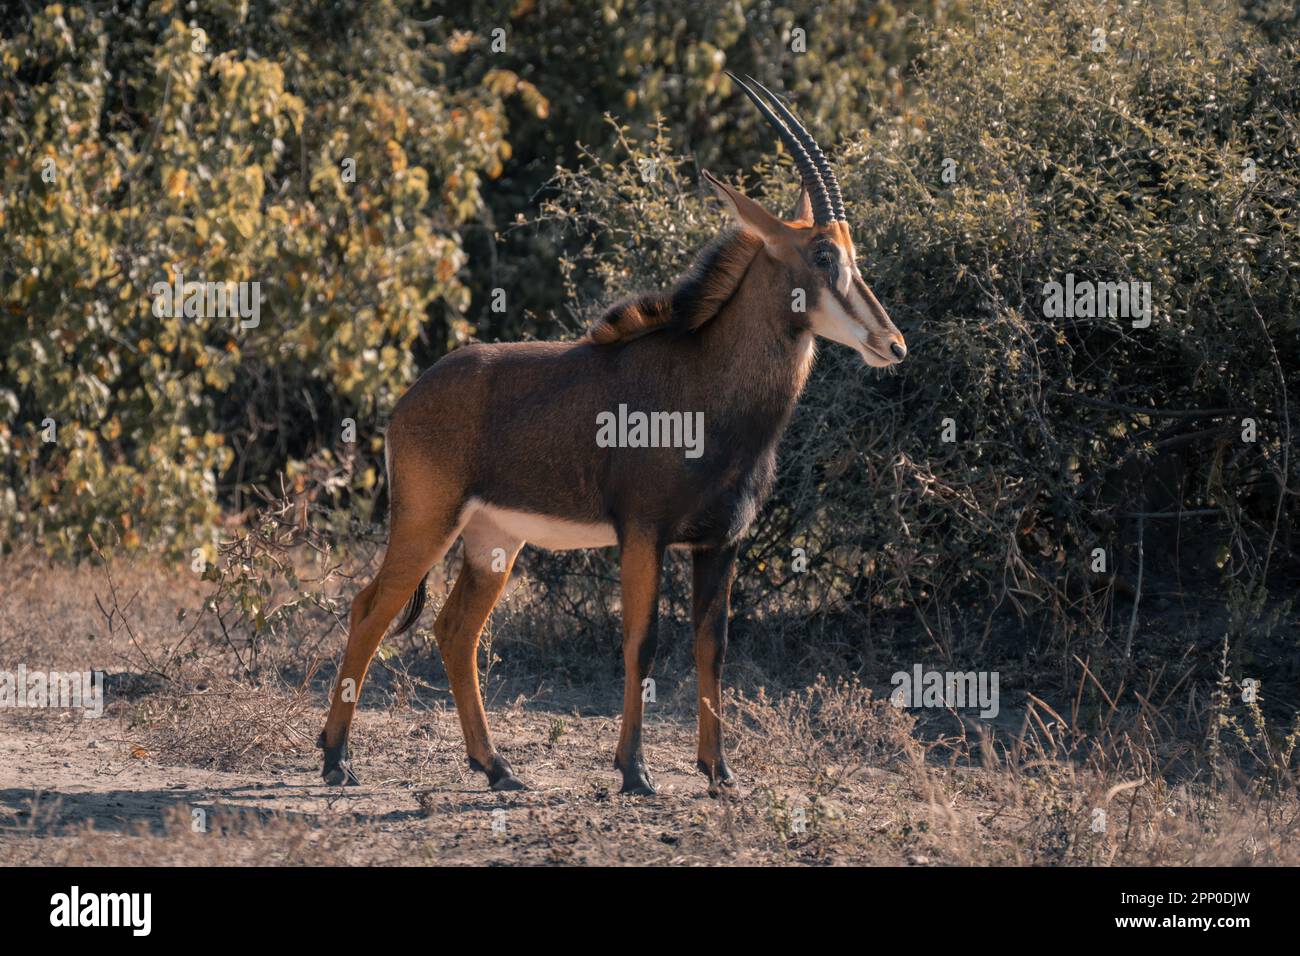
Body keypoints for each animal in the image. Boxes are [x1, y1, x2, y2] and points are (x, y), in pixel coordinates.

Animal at [318, 75, 907, 795]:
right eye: (824, 255)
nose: (892, 344)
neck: (706, 385)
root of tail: (410, 397)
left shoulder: (720, 543)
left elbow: (714, 647)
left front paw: (719, 771)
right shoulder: (644, 534)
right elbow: (642, 641)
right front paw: (635, 771)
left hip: (493, 538)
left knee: (455, 630)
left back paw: (498, 768)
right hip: (428, 520)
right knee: (371, 609)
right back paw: (337, 758)